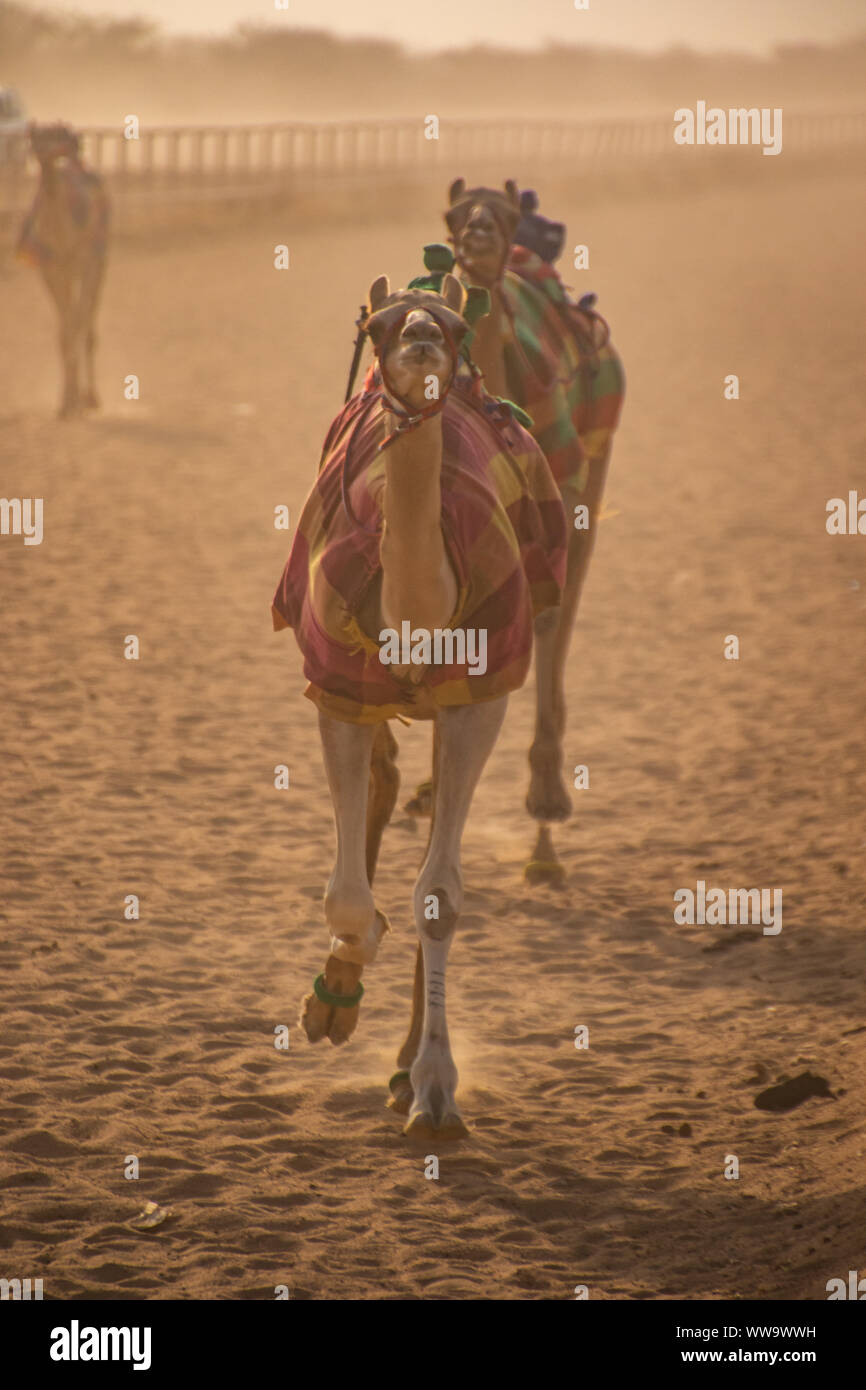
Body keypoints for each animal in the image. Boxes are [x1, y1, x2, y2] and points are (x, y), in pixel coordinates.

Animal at [16, 123, 109, 419]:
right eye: (39, 136)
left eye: (61, 133)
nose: (75, 143)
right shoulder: (50, 271)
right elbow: (64, 330)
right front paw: (66, 403)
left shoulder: (85, 264)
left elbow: (76, 325)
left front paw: (81, 400)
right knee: (75, 321)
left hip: (99, 263)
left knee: (88, 321)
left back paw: (92, 397)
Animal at [272, 275, 566, 1136]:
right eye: (379, 327)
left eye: (458, 328)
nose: (423, 344)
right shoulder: (337, 687)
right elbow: (345, 895)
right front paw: (335, 987)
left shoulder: (479, 698)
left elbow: (439, 897)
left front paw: (435, 1088)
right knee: (384, 784)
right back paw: (341, 997)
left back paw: (403, 1067)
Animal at [410, 178, 626, 884]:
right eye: (453, 216)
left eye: (503, 218)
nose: (478, 235)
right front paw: (430, 794)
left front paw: (546, 806)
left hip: (593, 476)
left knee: (558, 630)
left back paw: (546, 826)